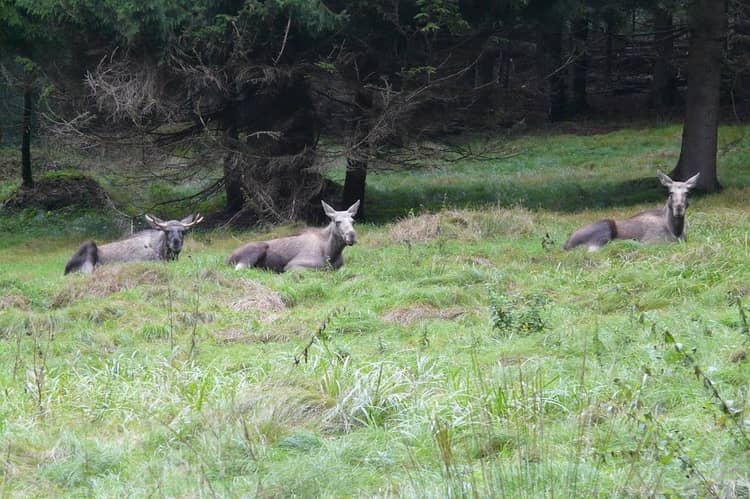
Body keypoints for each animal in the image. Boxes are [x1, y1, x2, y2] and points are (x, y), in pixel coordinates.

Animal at [227, 200, 360, 272]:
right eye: (337, 221)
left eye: (353, 221)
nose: (351, 235)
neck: (331, 252)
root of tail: (227, 258)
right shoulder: (293, 266)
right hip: (252, 253)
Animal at [563, 172, 700, 251]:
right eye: (670, 192)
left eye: (687, 193)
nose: (679, 208)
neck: (676, 231)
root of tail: (566, 244)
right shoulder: (652, 241)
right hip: (604, 228)